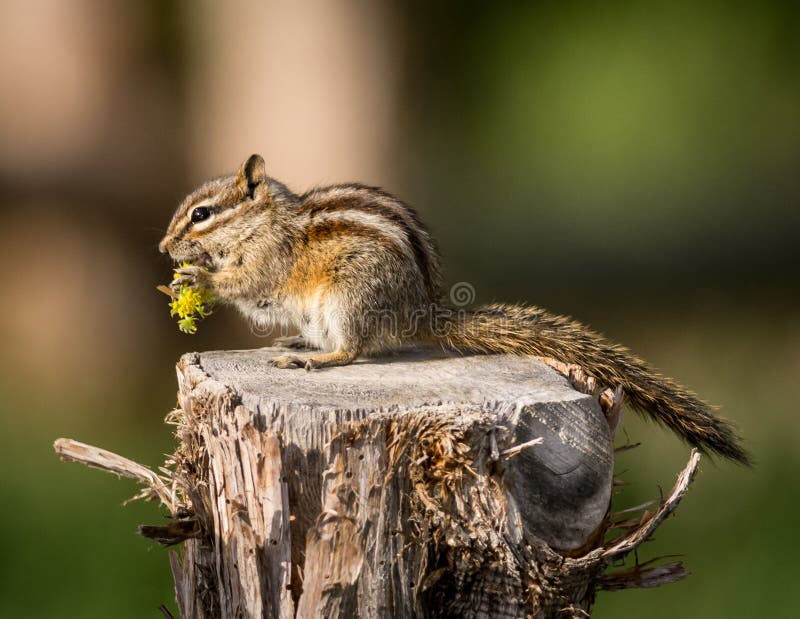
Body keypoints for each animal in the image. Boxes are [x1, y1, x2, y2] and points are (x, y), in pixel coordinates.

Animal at [159, 154, 749, 465]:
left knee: (352, 350)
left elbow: (248, 282)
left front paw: (198, 278)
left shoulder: (269, 261)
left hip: (349, 297)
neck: (263, 221)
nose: (164, 248)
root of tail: (421, 314)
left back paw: (312, 358)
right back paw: (299, 342)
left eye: (201, 214)